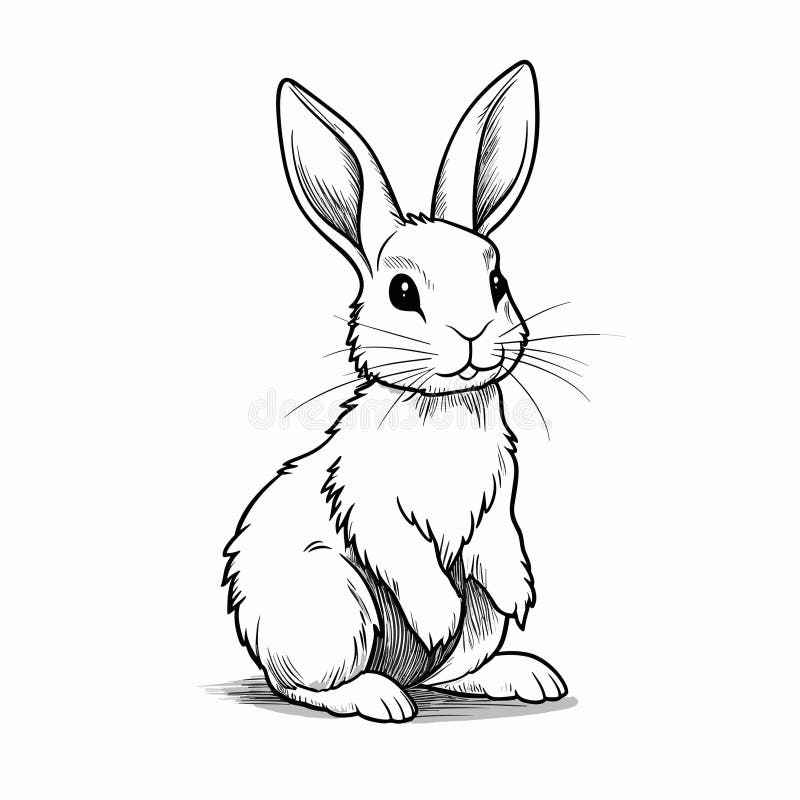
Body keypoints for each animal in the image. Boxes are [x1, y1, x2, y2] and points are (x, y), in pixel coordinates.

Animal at [223, 61, 568, 722]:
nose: (472, 336)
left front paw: (521, 593)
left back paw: (524, 675)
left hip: (473, 629)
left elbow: (500, 542)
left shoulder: (497, 502)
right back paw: (379, 696)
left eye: (497, 282)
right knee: (305, 685)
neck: (442, 405)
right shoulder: (367, 501)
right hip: (333, 602)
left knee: (455, 672)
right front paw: (437, 615)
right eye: (402, 292)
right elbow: (403, 553)